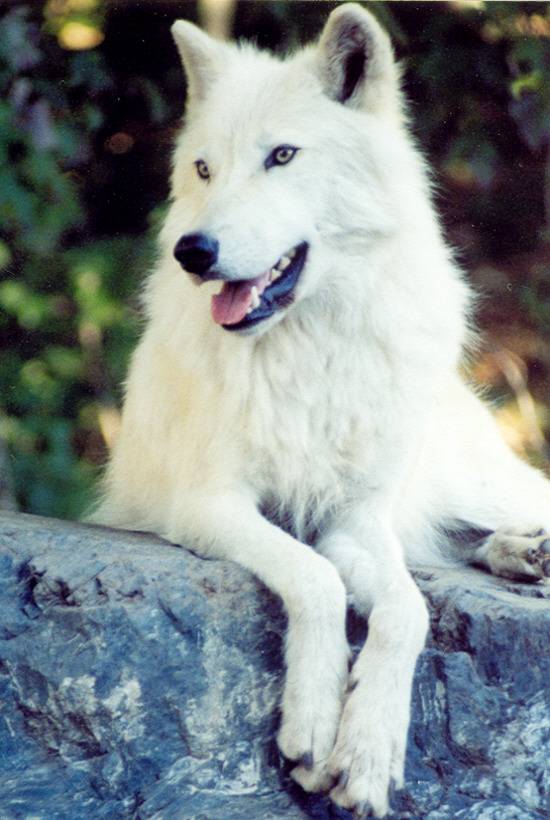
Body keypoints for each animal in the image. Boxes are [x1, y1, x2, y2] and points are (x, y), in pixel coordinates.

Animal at [92, 4, 550, 817]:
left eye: (282, 156)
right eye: (204, 169)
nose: (192, 251)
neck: (306, 350)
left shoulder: (357, 519)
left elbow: (407, 612)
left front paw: (366, 752)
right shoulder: (211, 504)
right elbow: (316, 580)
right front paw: (313, 719)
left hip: (482, 485)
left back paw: (523, 549)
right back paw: (516, 553)